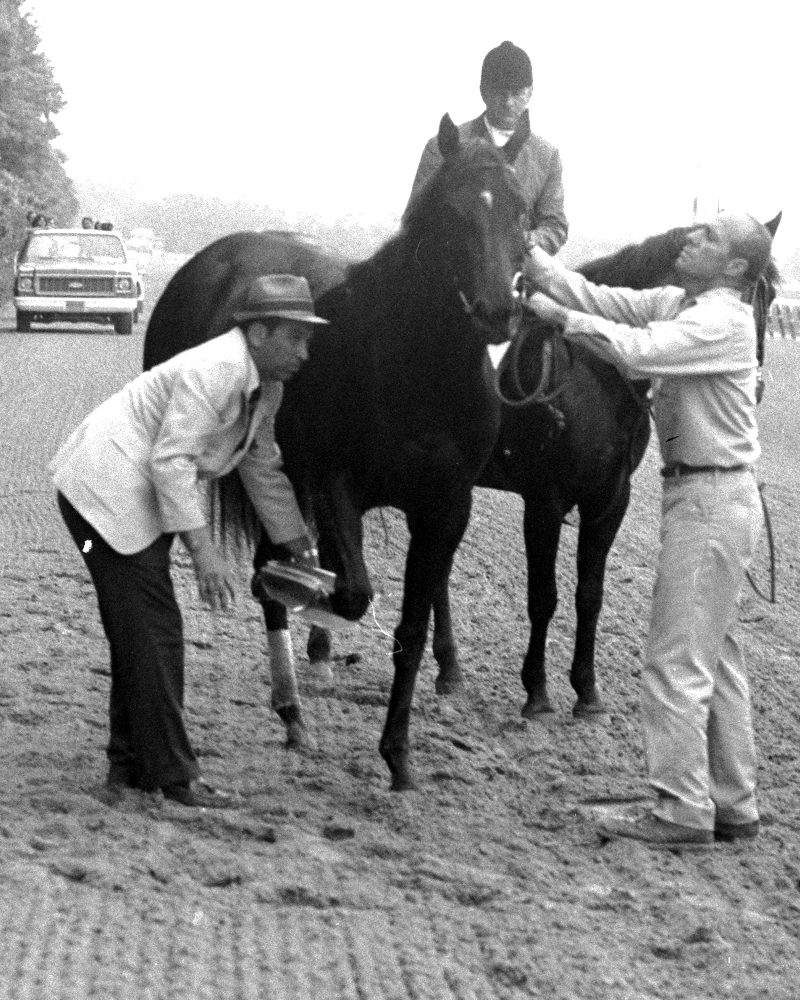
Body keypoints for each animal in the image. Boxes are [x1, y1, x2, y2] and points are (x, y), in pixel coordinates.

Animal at [143, 114, 528, 791]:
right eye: (453, 213)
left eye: (519, 209)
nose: (495, 312)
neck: (416, 368)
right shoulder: (334, 484)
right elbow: (350, 591)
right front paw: (319, 632)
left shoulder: (445, 508)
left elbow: (411, 626)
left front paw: (398, 754)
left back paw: (297, 705)